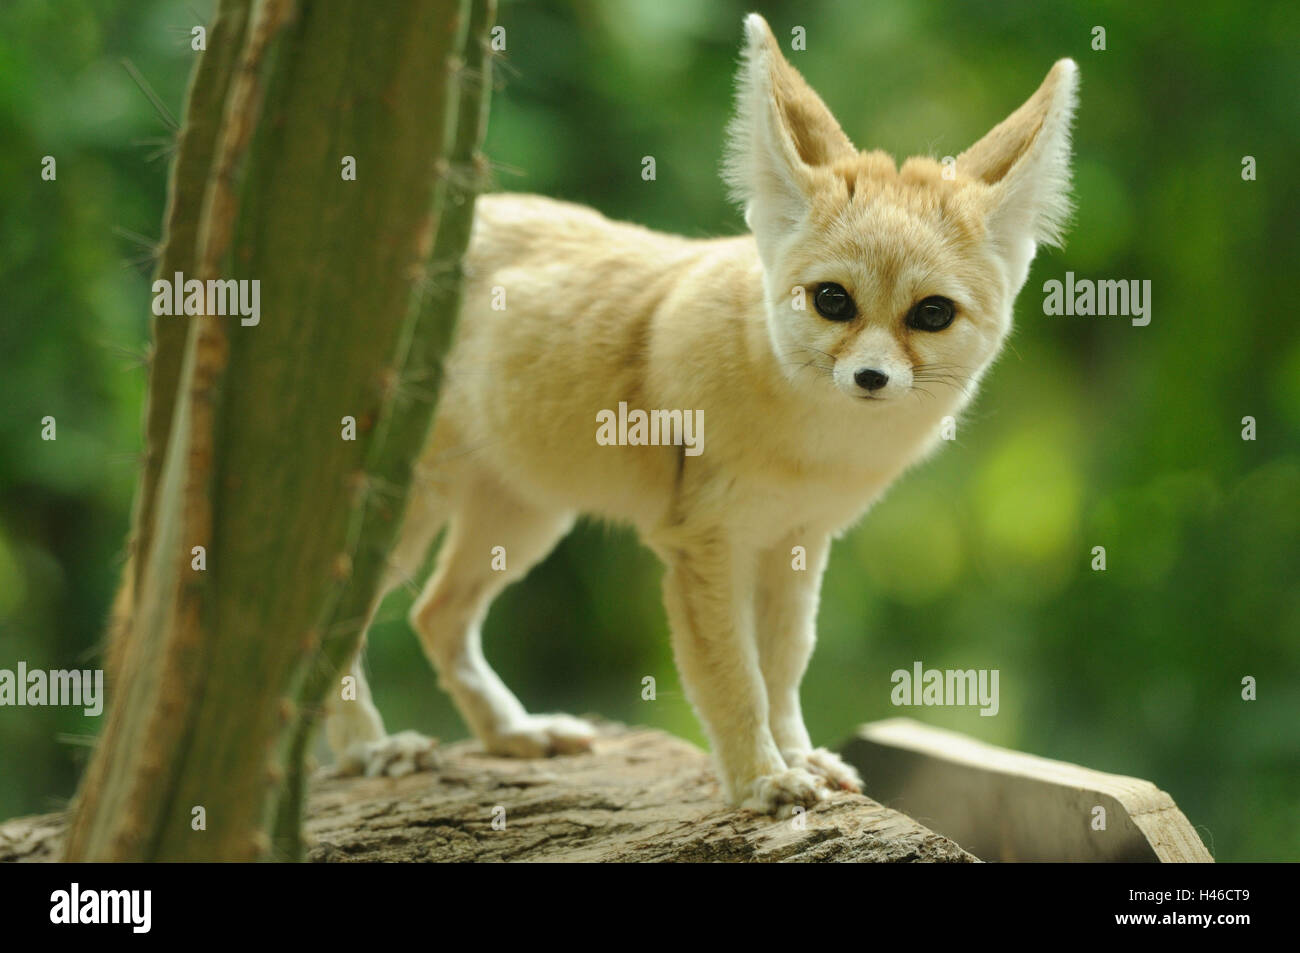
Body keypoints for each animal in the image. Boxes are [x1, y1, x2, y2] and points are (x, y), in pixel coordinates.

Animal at [325, 13, 1079, 814]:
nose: (871, 377)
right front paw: (762, 778)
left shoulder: (797, 542)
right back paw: (367, 748)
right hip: (410, 520)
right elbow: (734, 677)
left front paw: (800, 756)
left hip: (523, 517)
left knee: (436, 615)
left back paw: (512, 732)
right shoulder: (704, 546)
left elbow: (784, 666)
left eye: (931, 313)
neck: (814, 445)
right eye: (833, 300)